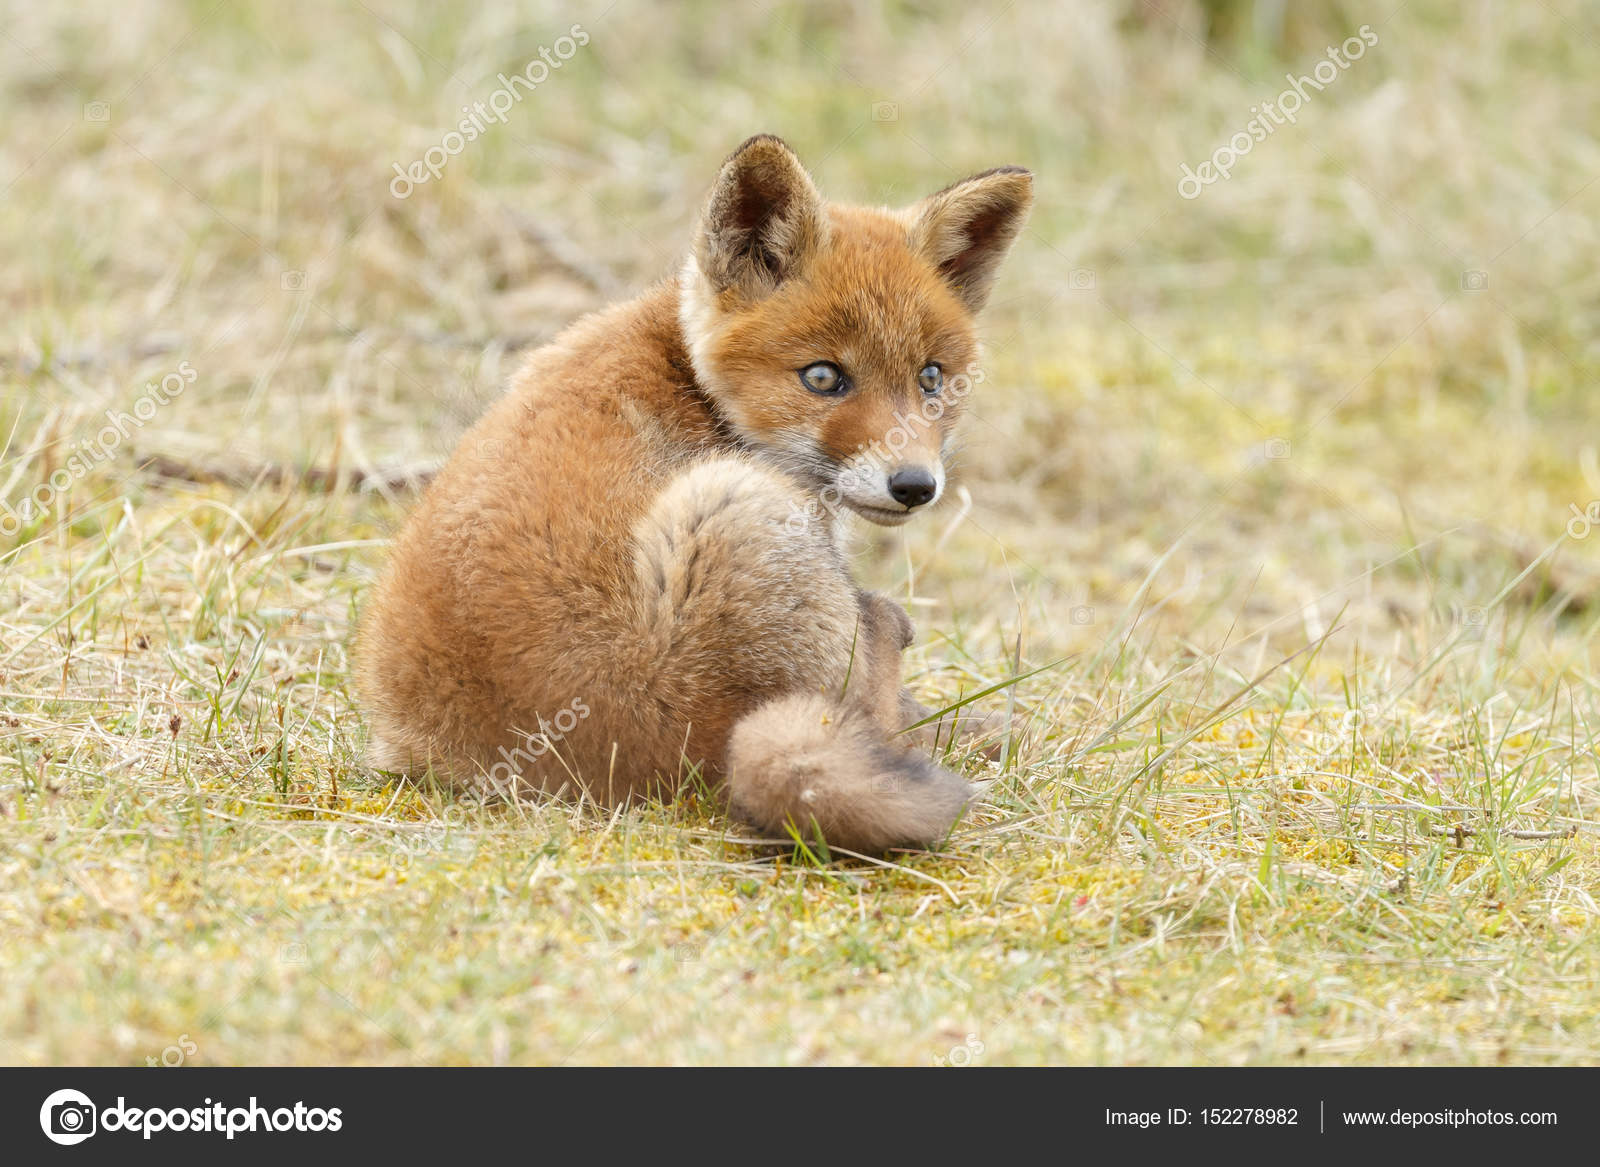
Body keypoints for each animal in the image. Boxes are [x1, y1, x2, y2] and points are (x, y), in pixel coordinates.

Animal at [355, 134, 1032, 853]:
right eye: (823, 377)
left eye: (931, 378)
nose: (914, 485)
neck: (691, 377)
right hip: (736, 504)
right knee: (873, 719)